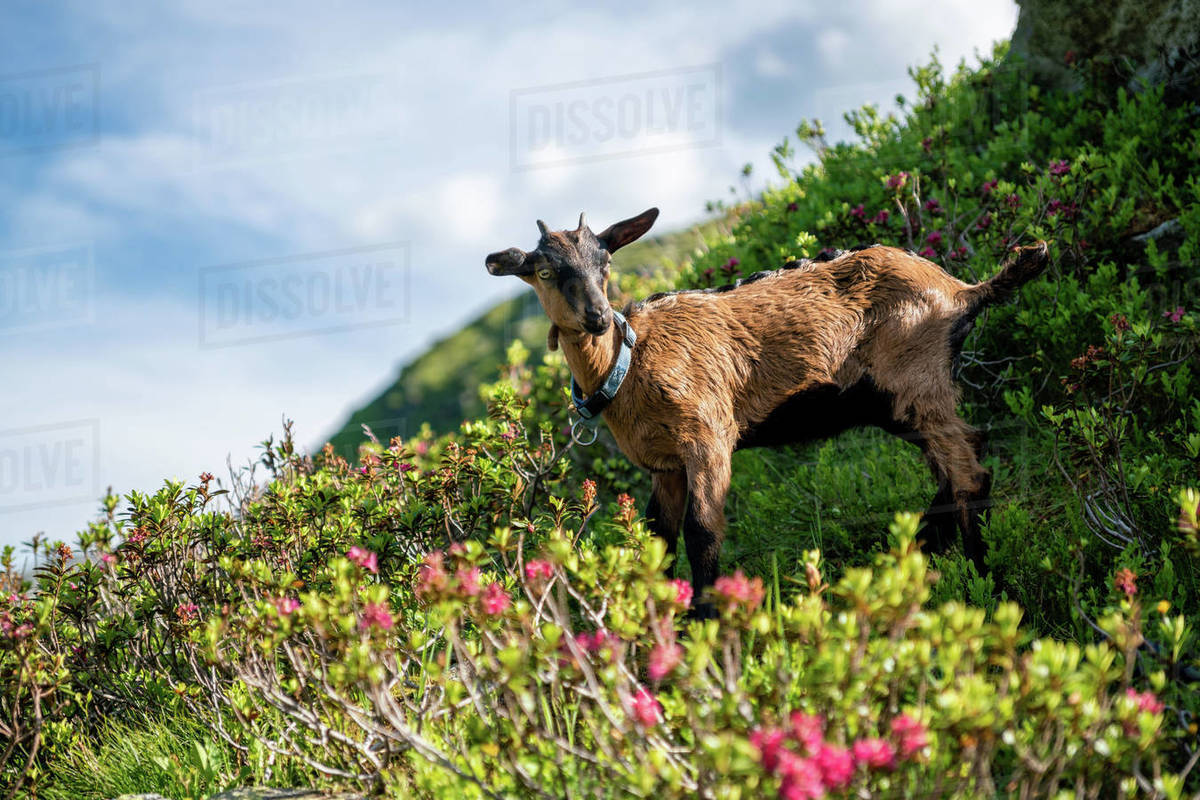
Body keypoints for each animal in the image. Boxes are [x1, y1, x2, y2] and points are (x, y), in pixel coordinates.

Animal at [486, 208, 1048, 610]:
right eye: (543, 271)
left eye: (605, 264)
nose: (599, 317)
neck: (629, 362)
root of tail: (961, 290)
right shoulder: (663, 465)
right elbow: (657, 541)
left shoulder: (708, 437)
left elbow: (702, 530)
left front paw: (706, 625)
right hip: (898, 403)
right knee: (953, 473)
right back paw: (919, 553)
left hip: (917, 380)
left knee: (970, 472)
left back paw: (984, 584)